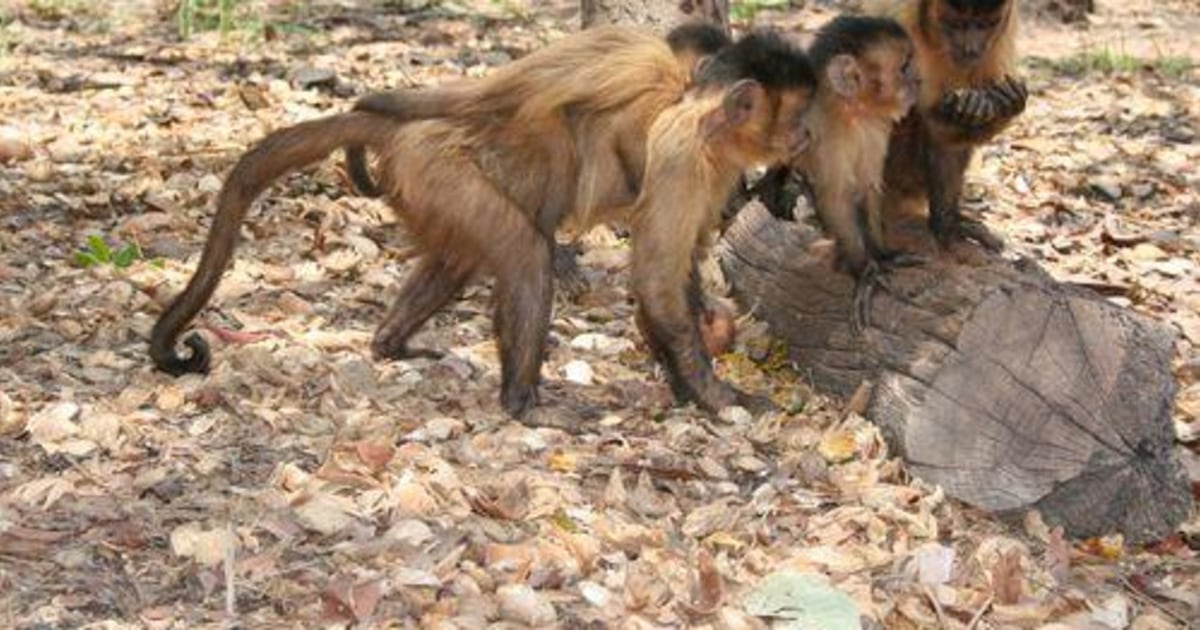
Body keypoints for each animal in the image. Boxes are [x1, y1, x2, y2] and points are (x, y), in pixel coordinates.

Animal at [150, 26, 815, 420]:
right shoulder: (681, 145)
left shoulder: (714, 164)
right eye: (797, 117)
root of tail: (408, 136)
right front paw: (715, 393)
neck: (691, 99)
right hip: (436, 165)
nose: (807, 137)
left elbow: (677, 272)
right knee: (523, 250)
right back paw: (522, 403)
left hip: (423, 185)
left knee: (462, 257)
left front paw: (691, 369)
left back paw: (391, 344)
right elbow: (654, 277)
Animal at [871, 0, 1027, 250]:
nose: (971, 49)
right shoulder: (898, 23)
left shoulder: (1000, 36)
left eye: (985, 25)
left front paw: (999, 105)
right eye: (957, 24)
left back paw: (947, 223)